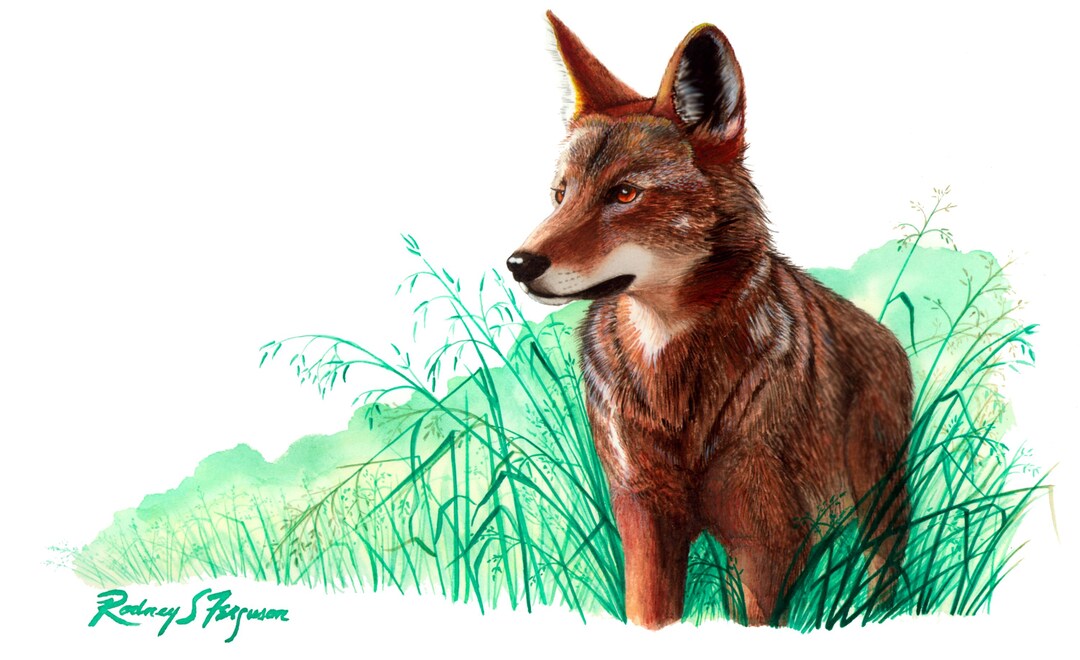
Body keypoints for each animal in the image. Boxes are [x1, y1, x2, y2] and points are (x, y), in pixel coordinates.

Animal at [506, 12, 913, 629]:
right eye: (560, 195)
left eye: (624, 194)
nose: (518, 264)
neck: (671, 379)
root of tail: (888, 339)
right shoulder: (645, 525)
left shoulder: (771, 542)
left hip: (880, 511)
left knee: (884, 581)